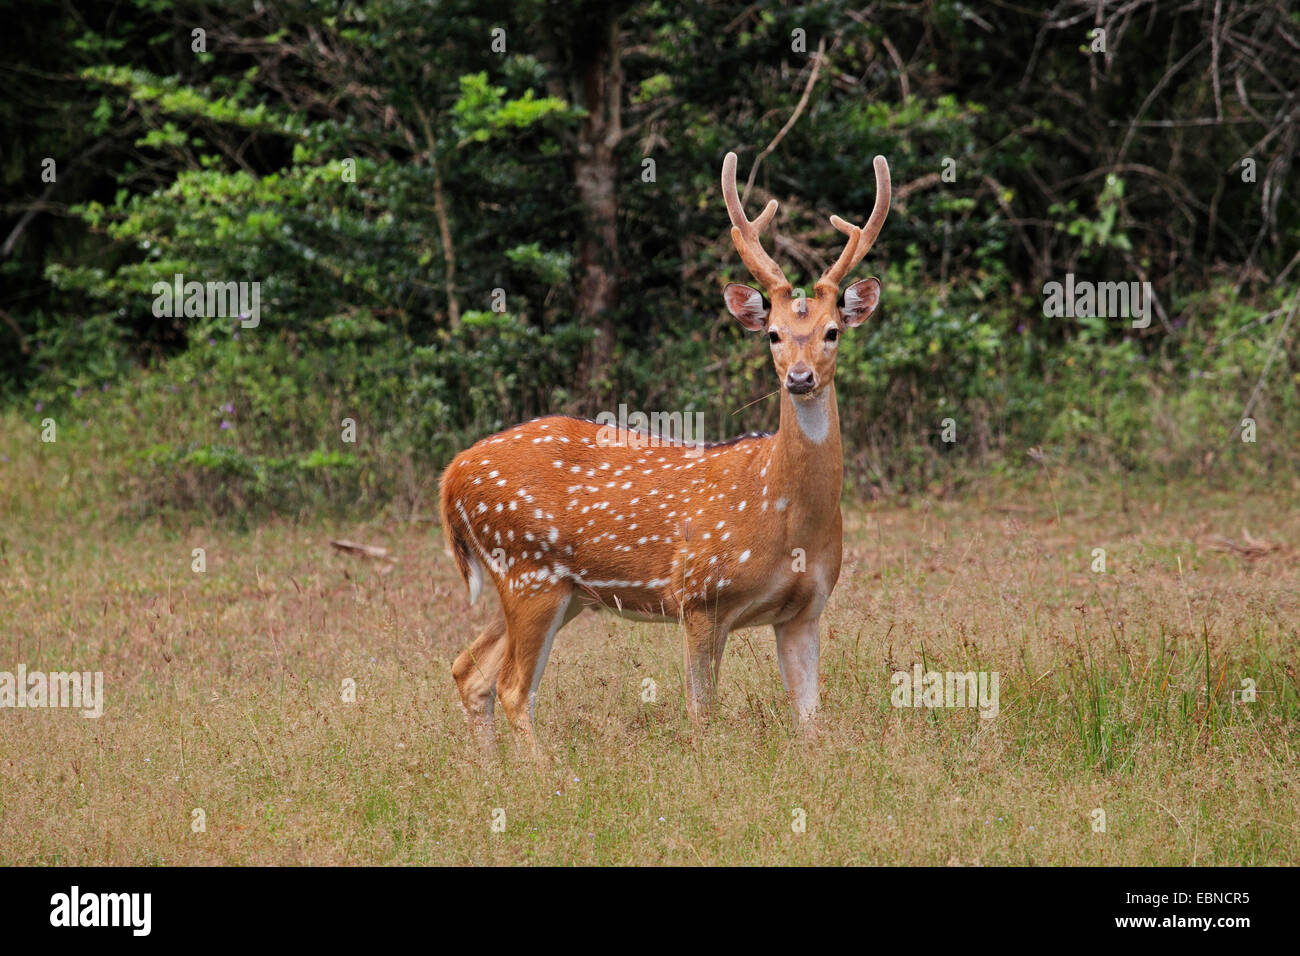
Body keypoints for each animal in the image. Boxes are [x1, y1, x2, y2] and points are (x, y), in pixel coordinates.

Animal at [439, 149, 890, 744]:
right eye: (771, 333)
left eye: (833, 331)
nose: (799, 377)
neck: (787, 515)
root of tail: (451, 475)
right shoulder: (700, 594)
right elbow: (702, 712)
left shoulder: (806, 610)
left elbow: (811, 720)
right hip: (528, 569)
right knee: (513, 687)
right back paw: (549, 765)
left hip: (556, 589)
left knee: (469, 670)